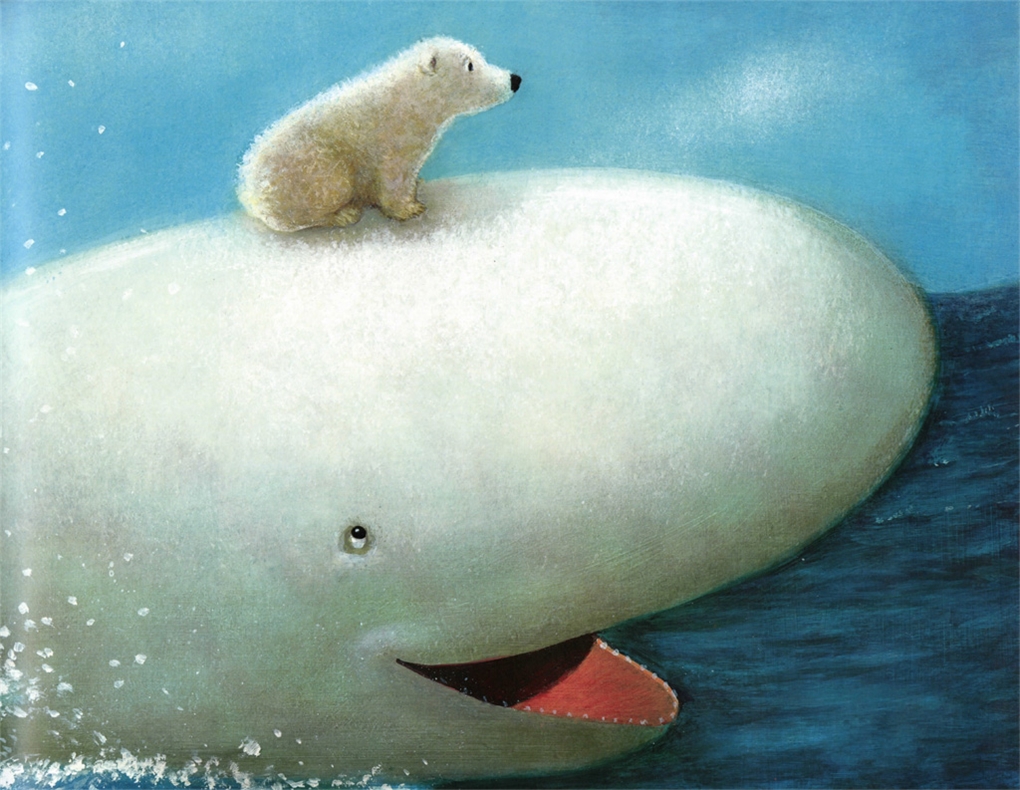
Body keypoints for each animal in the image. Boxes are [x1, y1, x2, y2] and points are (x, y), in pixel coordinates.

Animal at [237, 38, 521, 232]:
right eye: (470, 65)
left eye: (478, 57)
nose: (514, 79)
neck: (412, 100)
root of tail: (248, 188)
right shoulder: (391, 138)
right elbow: (393, 177)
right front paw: (409, 208)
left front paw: (416, 187)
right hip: (307, 169)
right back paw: (343, 214)